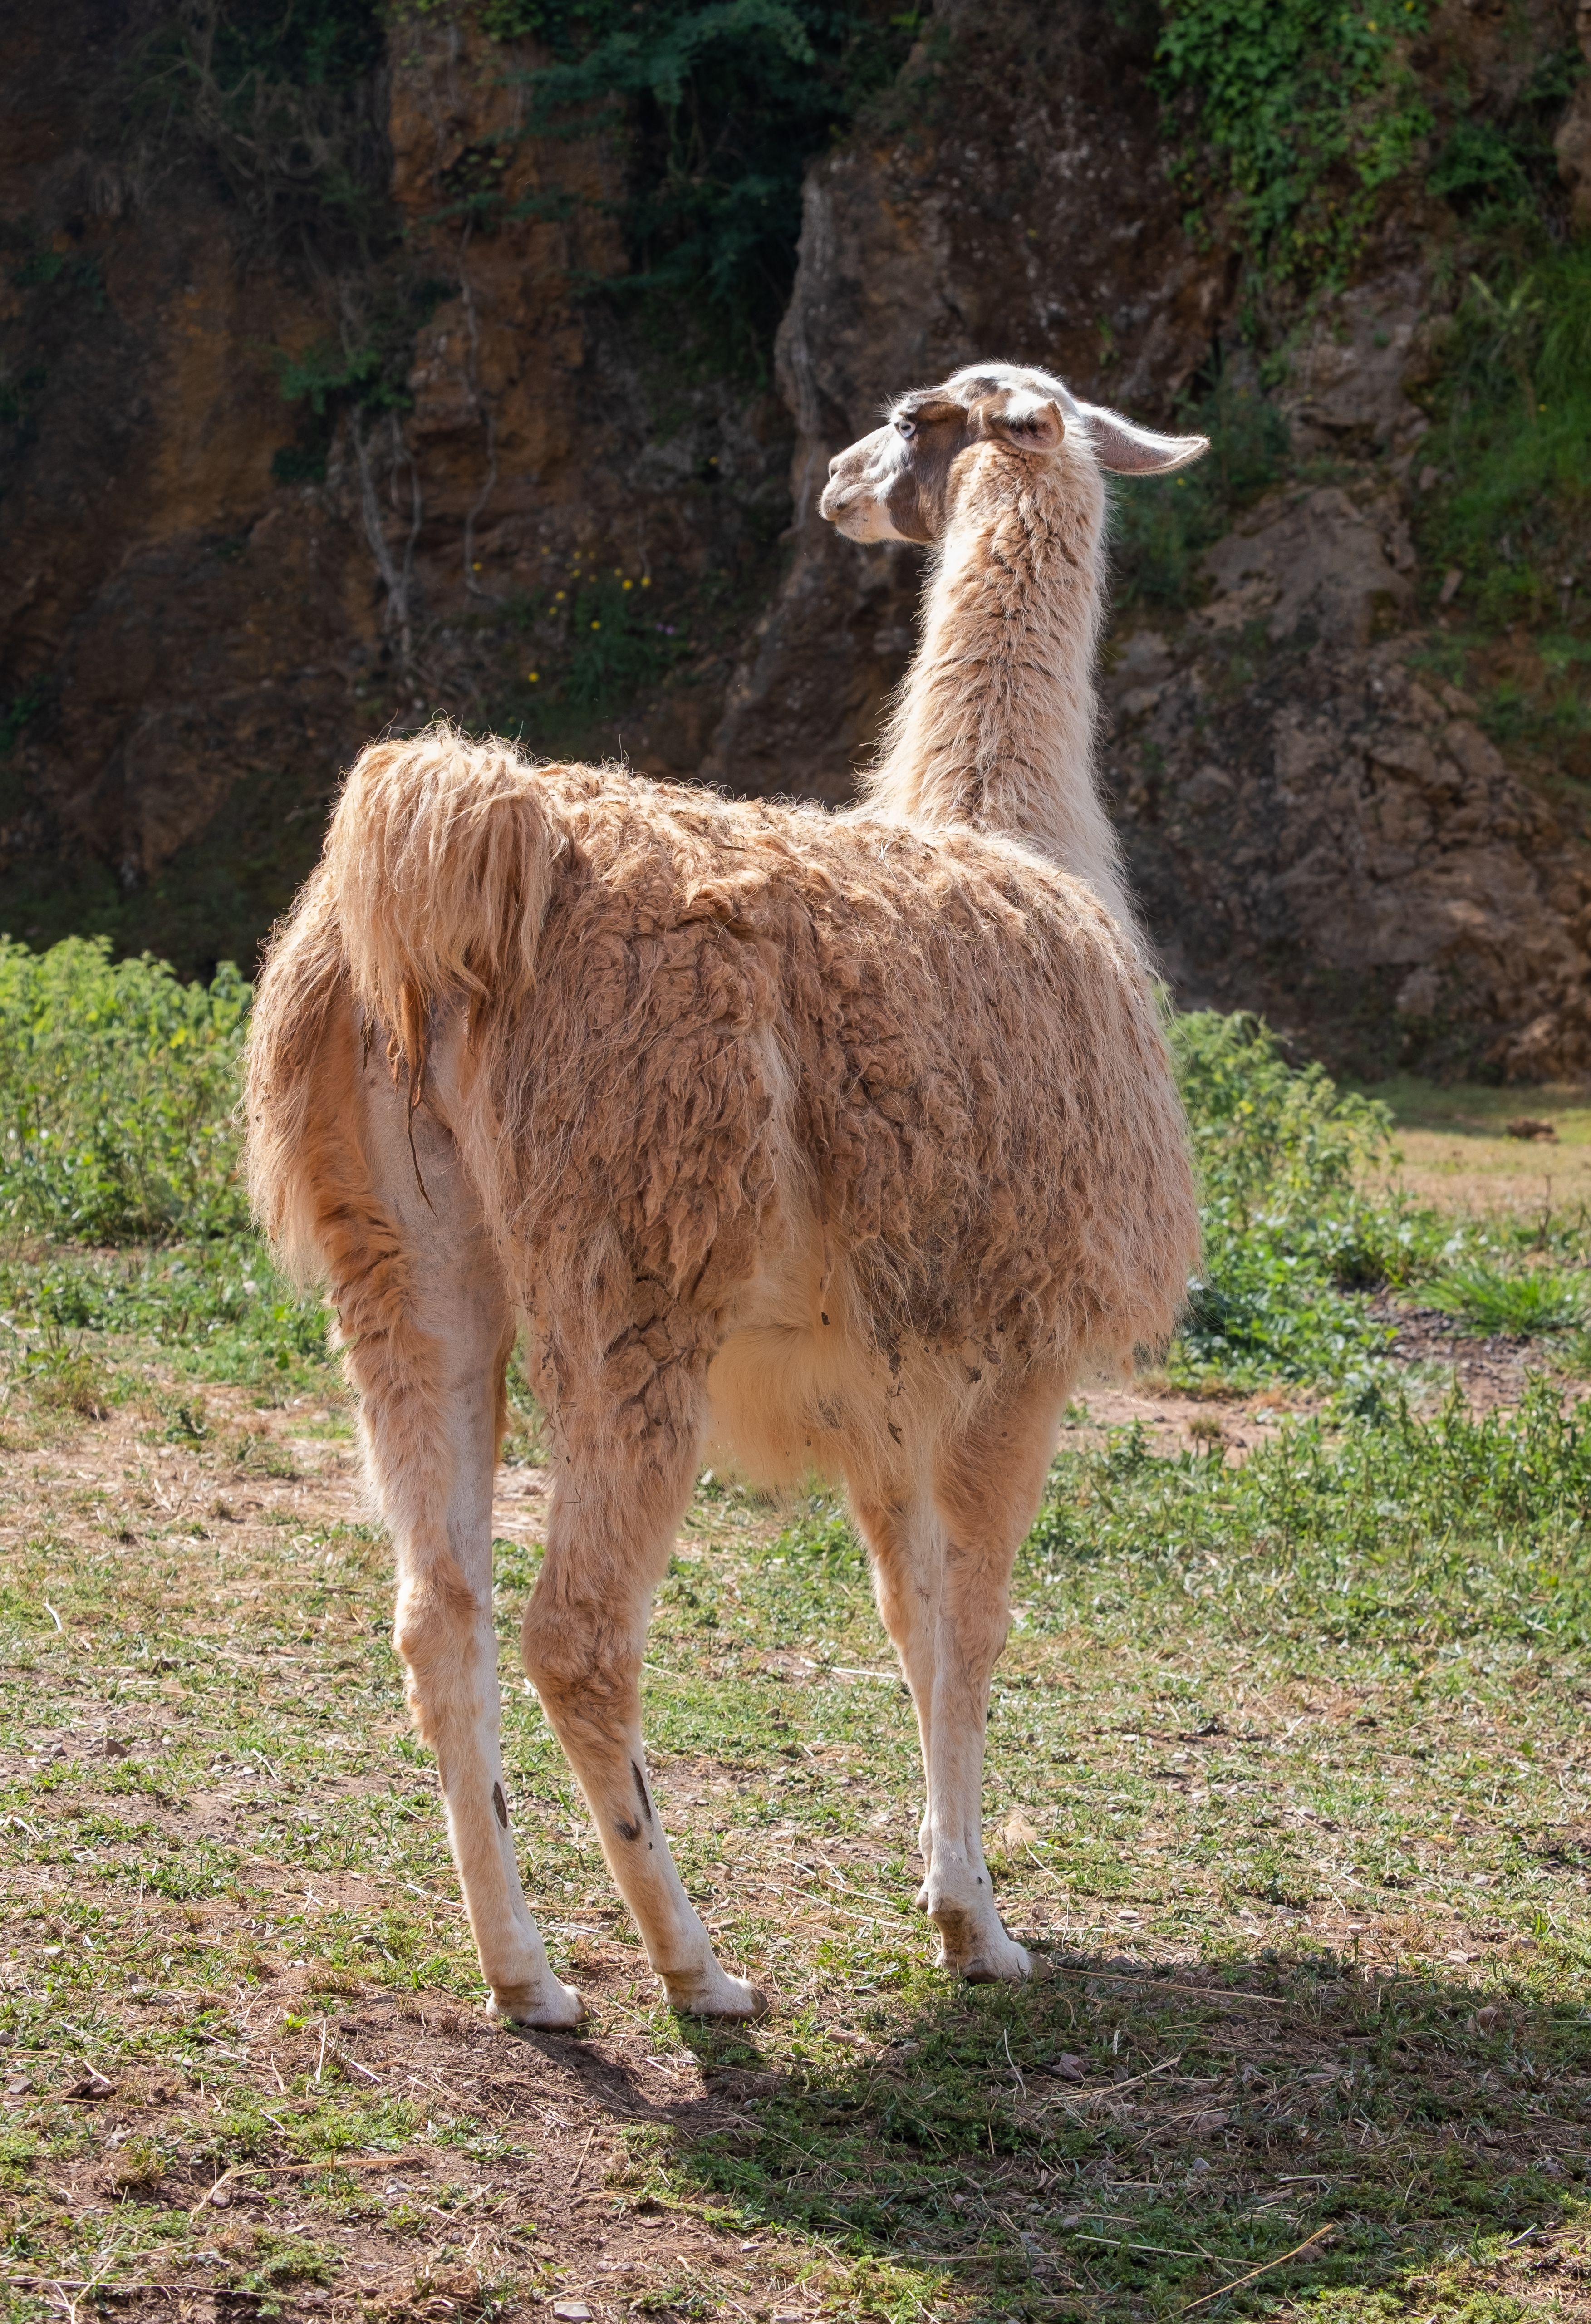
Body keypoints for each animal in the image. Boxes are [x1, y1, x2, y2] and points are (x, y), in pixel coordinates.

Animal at [244, 363, 1206, 2026]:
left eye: (910, 417)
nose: (834, 483)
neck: (1010, 831)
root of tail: (468, 835)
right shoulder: (1028, 1341)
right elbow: (978, 1622)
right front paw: (980, 1925)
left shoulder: (886, 1378)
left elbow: (911, 1617)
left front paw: (945, 1893)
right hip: (636, 1266)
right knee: (576, 1629)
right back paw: (695, 1968)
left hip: (404, 1267)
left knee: (439, 1615)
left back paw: (528, 1977)